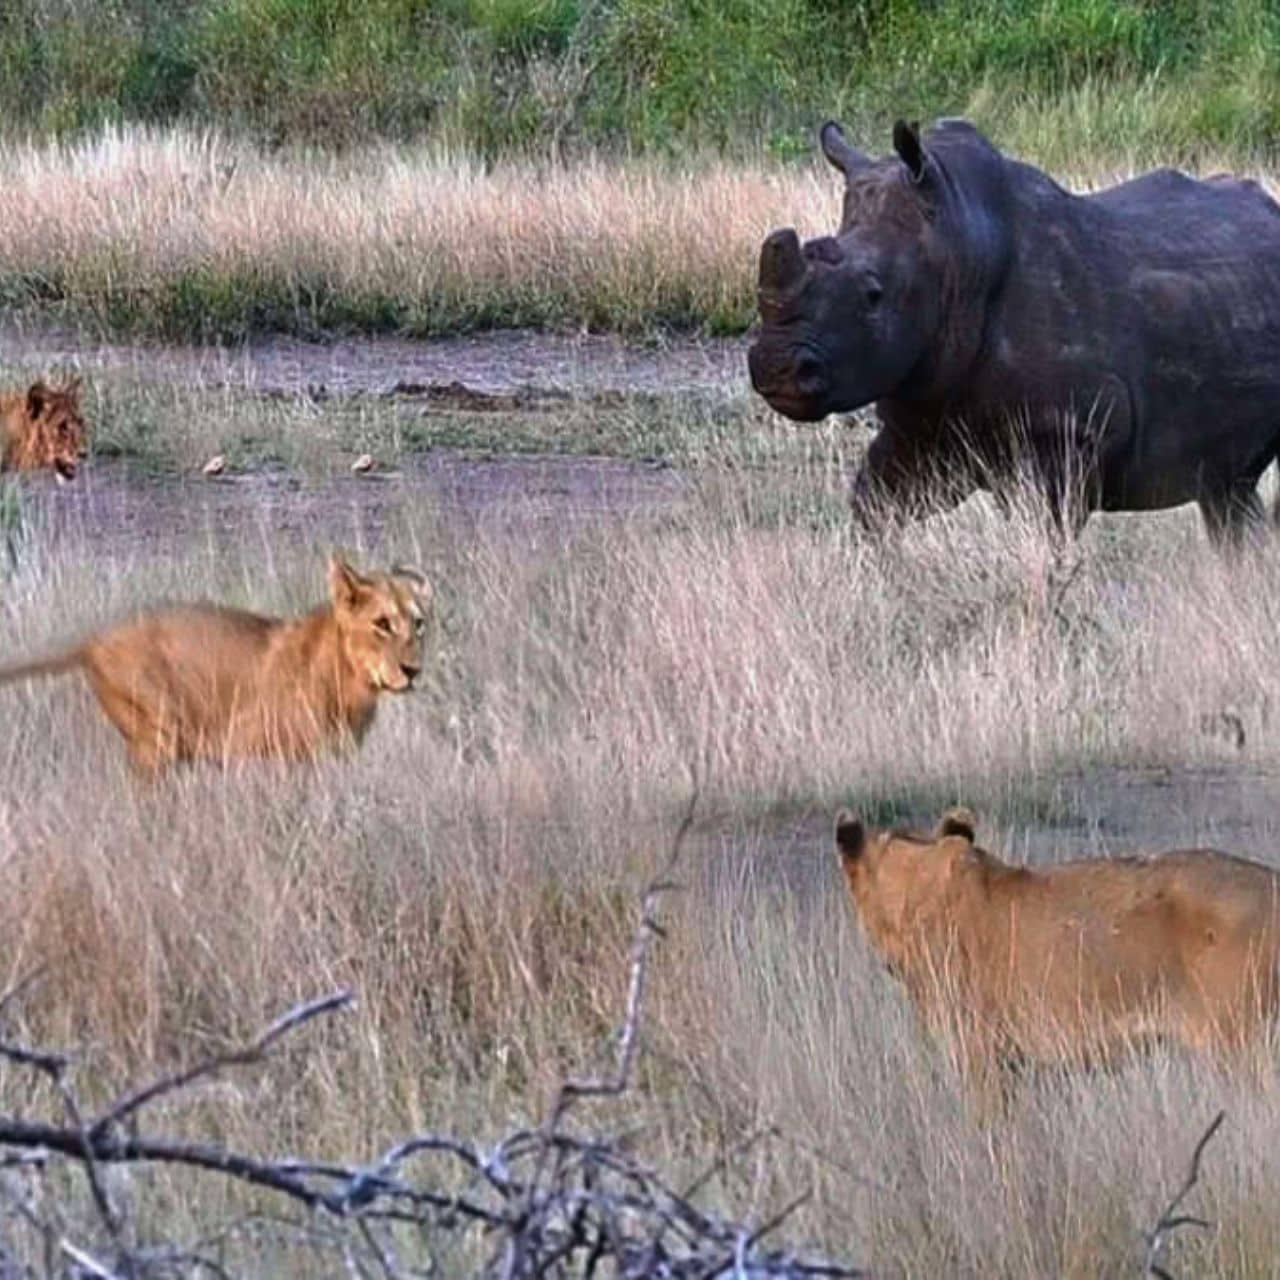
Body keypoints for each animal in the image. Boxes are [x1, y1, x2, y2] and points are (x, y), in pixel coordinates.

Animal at [0, 555, 432, 776]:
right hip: (157, 736)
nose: (413, 671)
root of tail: (94, 637)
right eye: (382, 624)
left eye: (419, 623)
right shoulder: (261, 754)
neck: (354, 683)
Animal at [747, 118, 1280, 543]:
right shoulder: (923, 419)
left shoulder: (1070, 435)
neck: (955, 249)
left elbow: (1045, 538)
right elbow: (873, 506)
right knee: (1227, 490)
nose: (775, 368)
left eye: (873, 295)